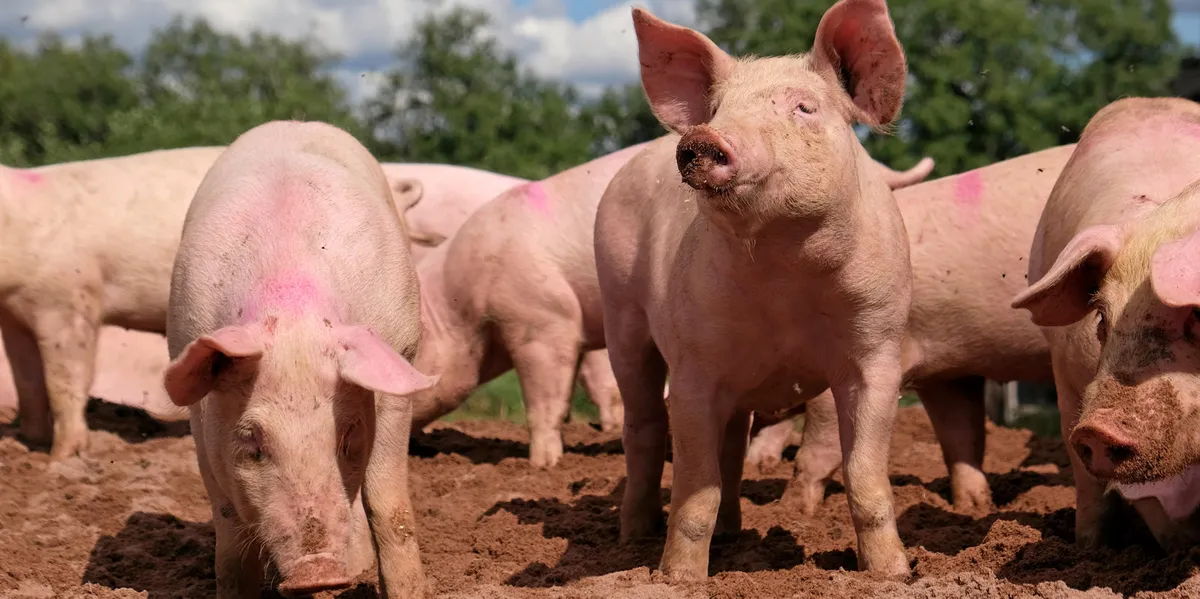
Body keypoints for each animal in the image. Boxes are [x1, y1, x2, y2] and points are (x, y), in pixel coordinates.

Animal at [163, 120, 437, 598]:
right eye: (252, 442)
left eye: (347, 437)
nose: (317, 574)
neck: (292, 308)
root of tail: (295, 122)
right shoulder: (198, 403)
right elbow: (229, 530)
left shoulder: (398, 354)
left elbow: (388, 505)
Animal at [594, 0, 916, 579]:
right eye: (719, 108)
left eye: (804, 107)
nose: (702, 138)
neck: (784, 273)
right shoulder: (694, 364)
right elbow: (694, 490)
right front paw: (677, 579)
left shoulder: (879, 349)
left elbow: (863, 475)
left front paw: (893, 576)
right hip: (620, 314)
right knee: (643, 426)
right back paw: (633, 540)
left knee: (731, 447)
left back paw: (731, 535)